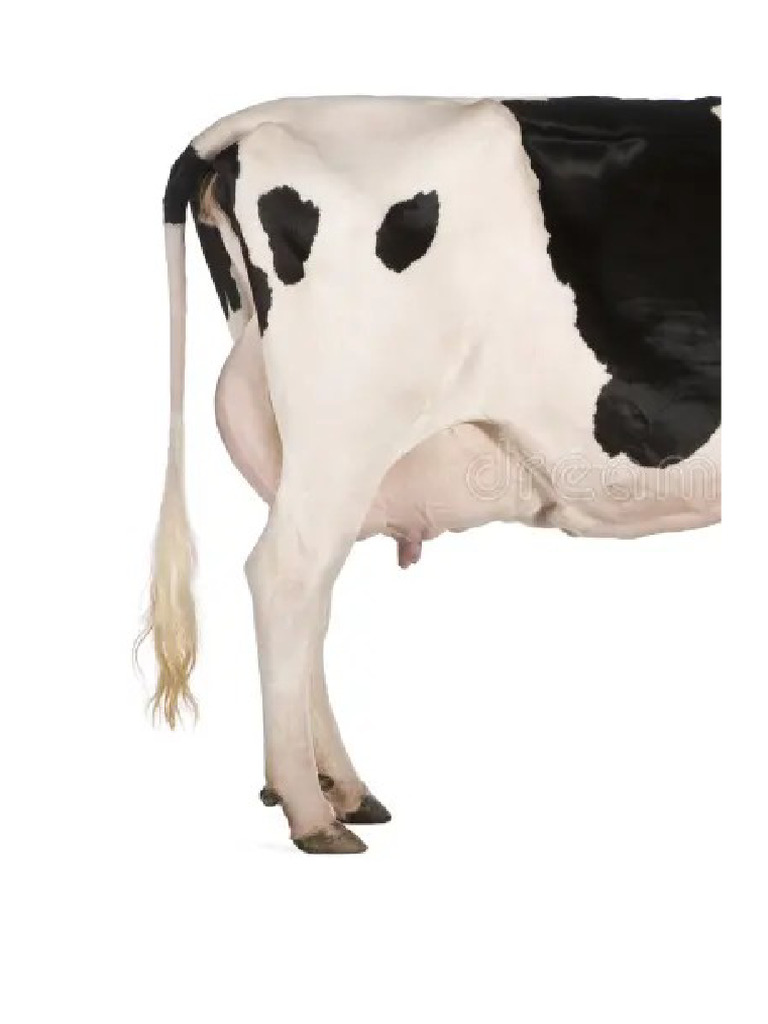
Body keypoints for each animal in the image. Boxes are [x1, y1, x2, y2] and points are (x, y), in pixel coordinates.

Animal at [141, 96, 721, 854]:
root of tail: (265, 118)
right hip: (346, 421)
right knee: (285, 577)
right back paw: (311, 810)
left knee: (310, 594)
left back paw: (343, 789)